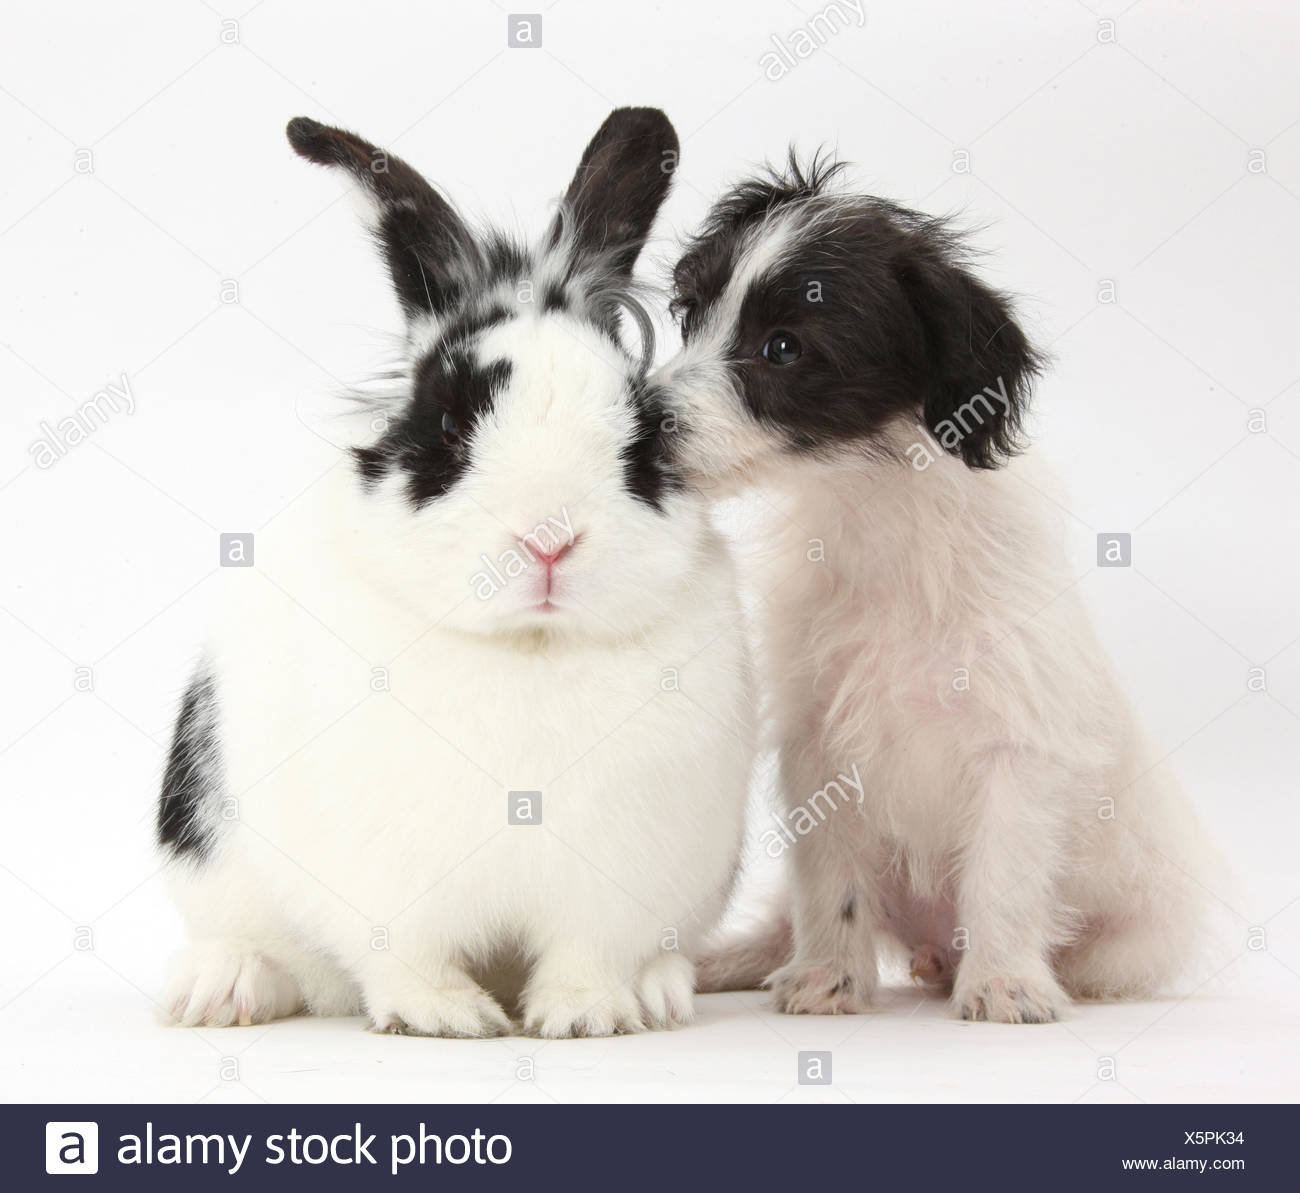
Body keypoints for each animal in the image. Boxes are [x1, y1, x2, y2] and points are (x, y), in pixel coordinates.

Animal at [156, 108, 756, 1039]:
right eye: (445, 427)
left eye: (643, 434)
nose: (548, 538)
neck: (527, 645)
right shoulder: (385, 876)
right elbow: (407, 953)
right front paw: (444, 1016)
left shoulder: (620, 876)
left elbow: (589, 952)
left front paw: (587, 1015)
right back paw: (220, 991)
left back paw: (662, 991)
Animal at [650, 155, 1218, 1023]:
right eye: (692, 316)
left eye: (783, 347)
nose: (639, 418)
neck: (878, 508)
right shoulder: (820, 741)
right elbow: (830, 884)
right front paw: (831, 976)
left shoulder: (1017, 746)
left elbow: (1004, 877)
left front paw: (1006, 982)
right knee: (787, 921)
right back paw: (730, 960)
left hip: (1134, 942)